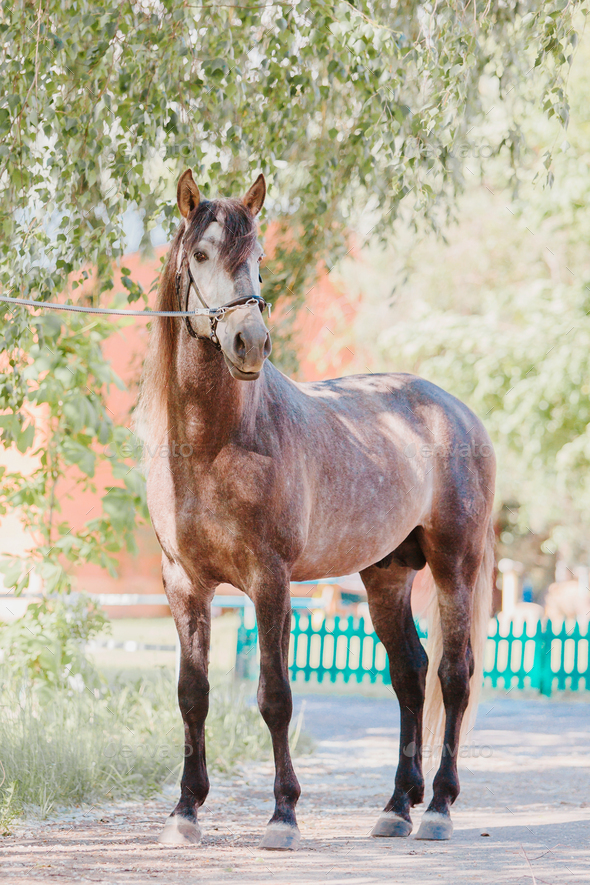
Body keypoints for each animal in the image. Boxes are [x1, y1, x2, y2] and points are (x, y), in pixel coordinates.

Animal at [136, 168, 496, 849]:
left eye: (258, 258)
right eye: (202, 255)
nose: (250, 343)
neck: (215, 441)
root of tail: (457, 411)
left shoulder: (270, 581)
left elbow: (275, 695)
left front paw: (283, 815)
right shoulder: (183, 583)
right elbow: (192, 694)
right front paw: (185, 812)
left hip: (454, 567)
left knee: (452, 677)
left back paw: (438, 807)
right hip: (386, 575)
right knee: (409, 674)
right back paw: (397, 806)